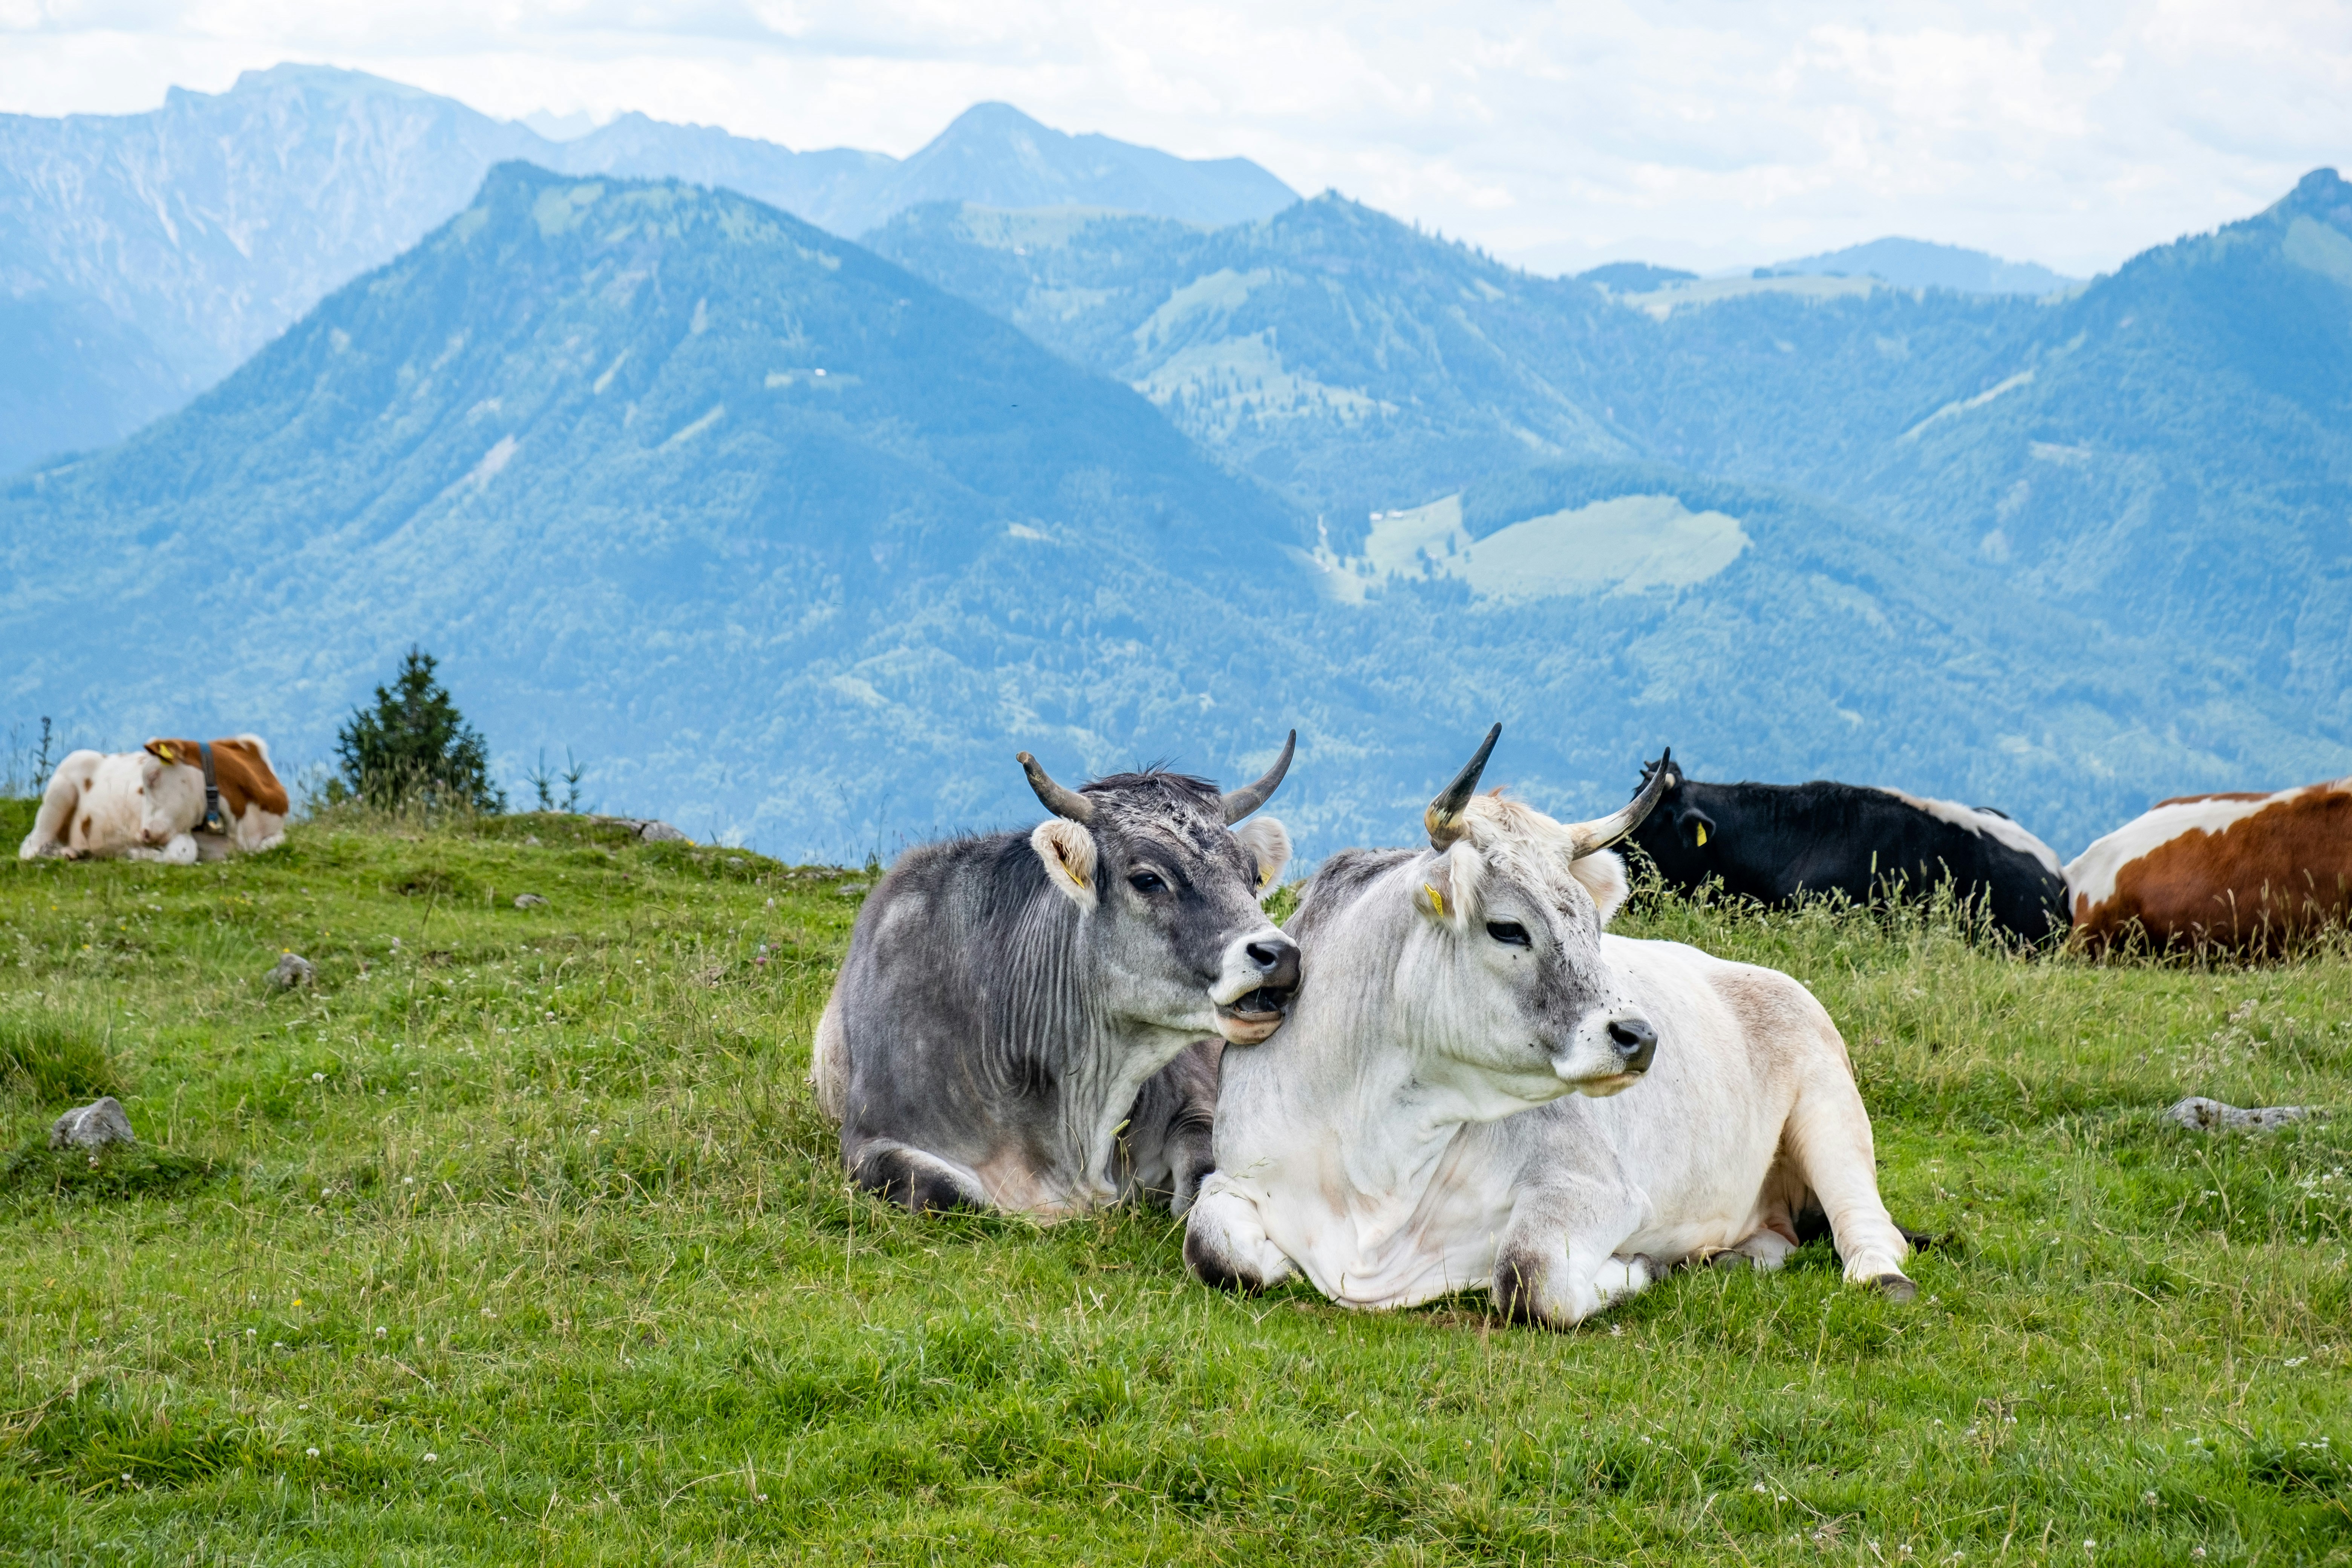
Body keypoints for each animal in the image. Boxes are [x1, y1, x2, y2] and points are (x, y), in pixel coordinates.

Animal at [19, 736, 289, 864]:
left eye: (152, 776)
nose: (144, 834)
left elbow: (272, 845)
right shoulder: (181, 831)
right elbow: (184, 853)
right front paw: (137, 853)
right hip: (60, 791)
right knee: (32, 845)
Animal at [811, 735, 1302, 1217]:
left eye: (1252, 875)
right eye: (1147, 878)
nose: (1282, 955)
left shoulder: (1198, 1101)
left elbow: (1200, 1180)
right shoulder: (868, 1139)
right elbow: (950, 1192)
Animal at [1185, 726, 1915, 1328]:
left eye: (1593, 924)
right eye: (1509, 927)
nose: (1640, 1037)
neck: (1377, 1158)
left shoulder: (1597, 1188)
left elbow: (1530, 1278)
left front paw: (1636, 1270)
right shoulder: (1236, 1174)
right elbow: (1213, 1248)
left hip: (1830, 1109)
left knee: (1869, 1225)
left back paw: (1878, 1276)